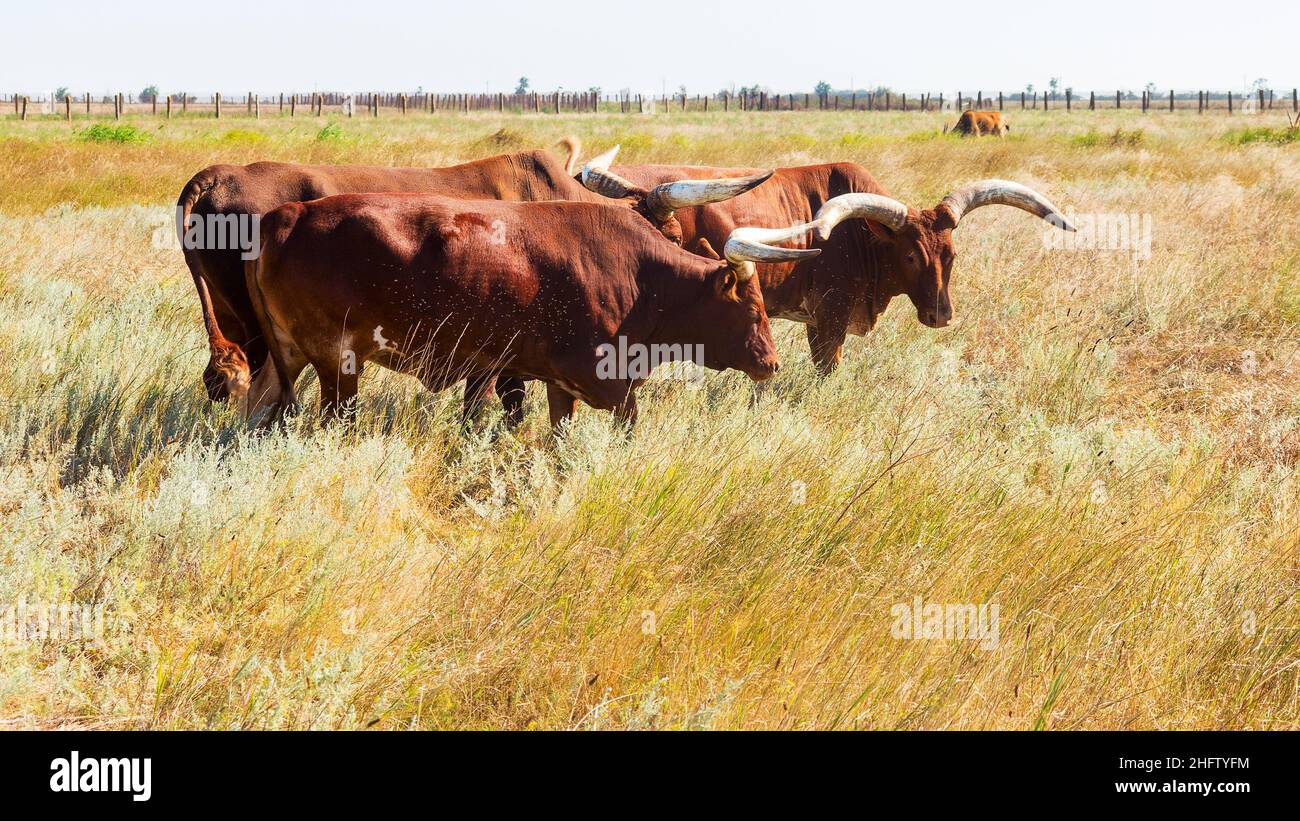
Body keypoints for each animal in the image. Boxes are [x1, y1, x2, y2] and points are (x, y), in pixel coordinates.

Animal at [235, 195, 819, 433]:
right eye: (753, 308)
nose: (771, 364)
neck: (642, 278)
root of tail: (288, 214)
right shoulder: (611, 387)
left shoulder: (561, 387)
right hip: (338, 365)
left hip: (287, 358)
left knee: (258, 411)